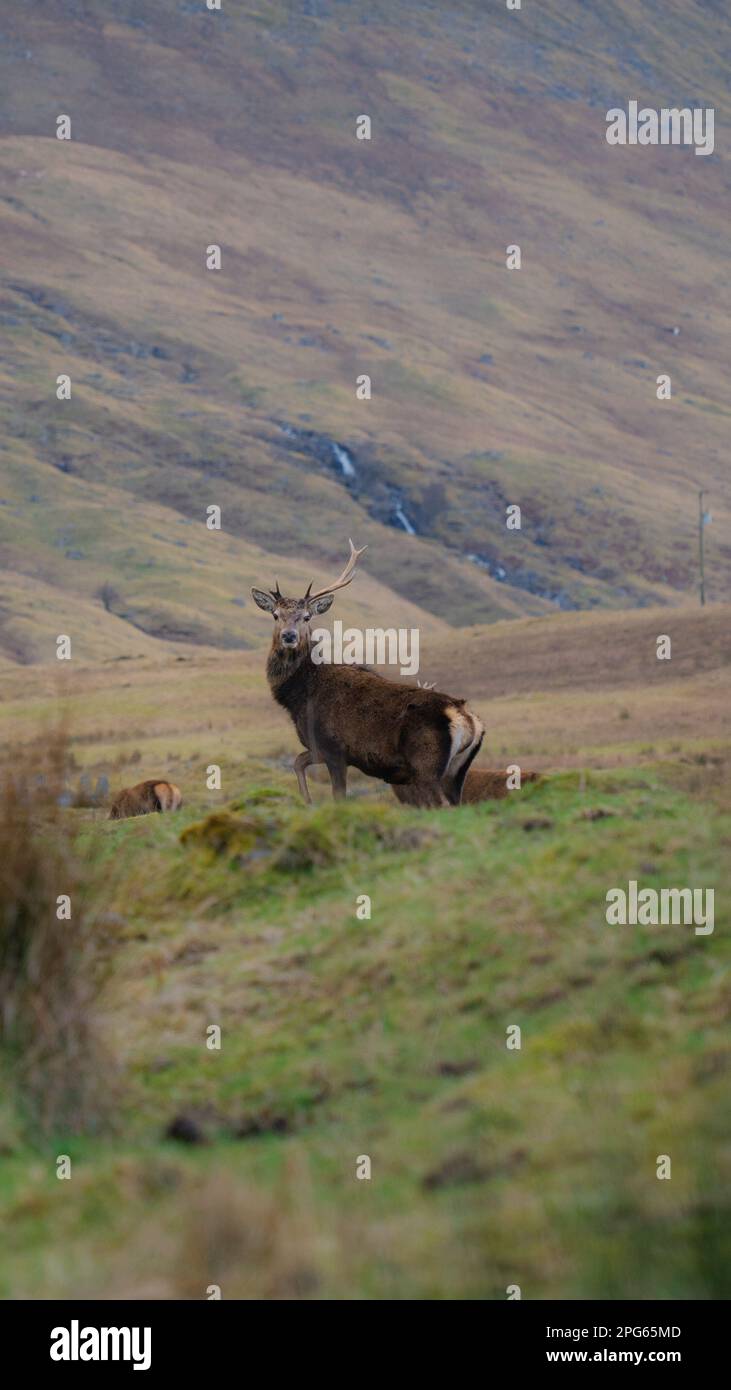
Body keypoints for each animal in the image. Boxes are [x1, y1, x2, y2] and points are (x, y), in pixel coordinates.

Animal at [251, 540, 484, 807]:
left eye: (307, 617)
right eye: (275, 615)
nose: (288, 636)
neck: (298, 697)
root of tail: (467, 719)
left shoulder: (334, 748)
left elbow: (337, 794)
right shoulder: (320, 750)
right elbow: (298, 761)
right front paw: (306, 800)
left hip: (426, 765)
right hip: (456, 771)